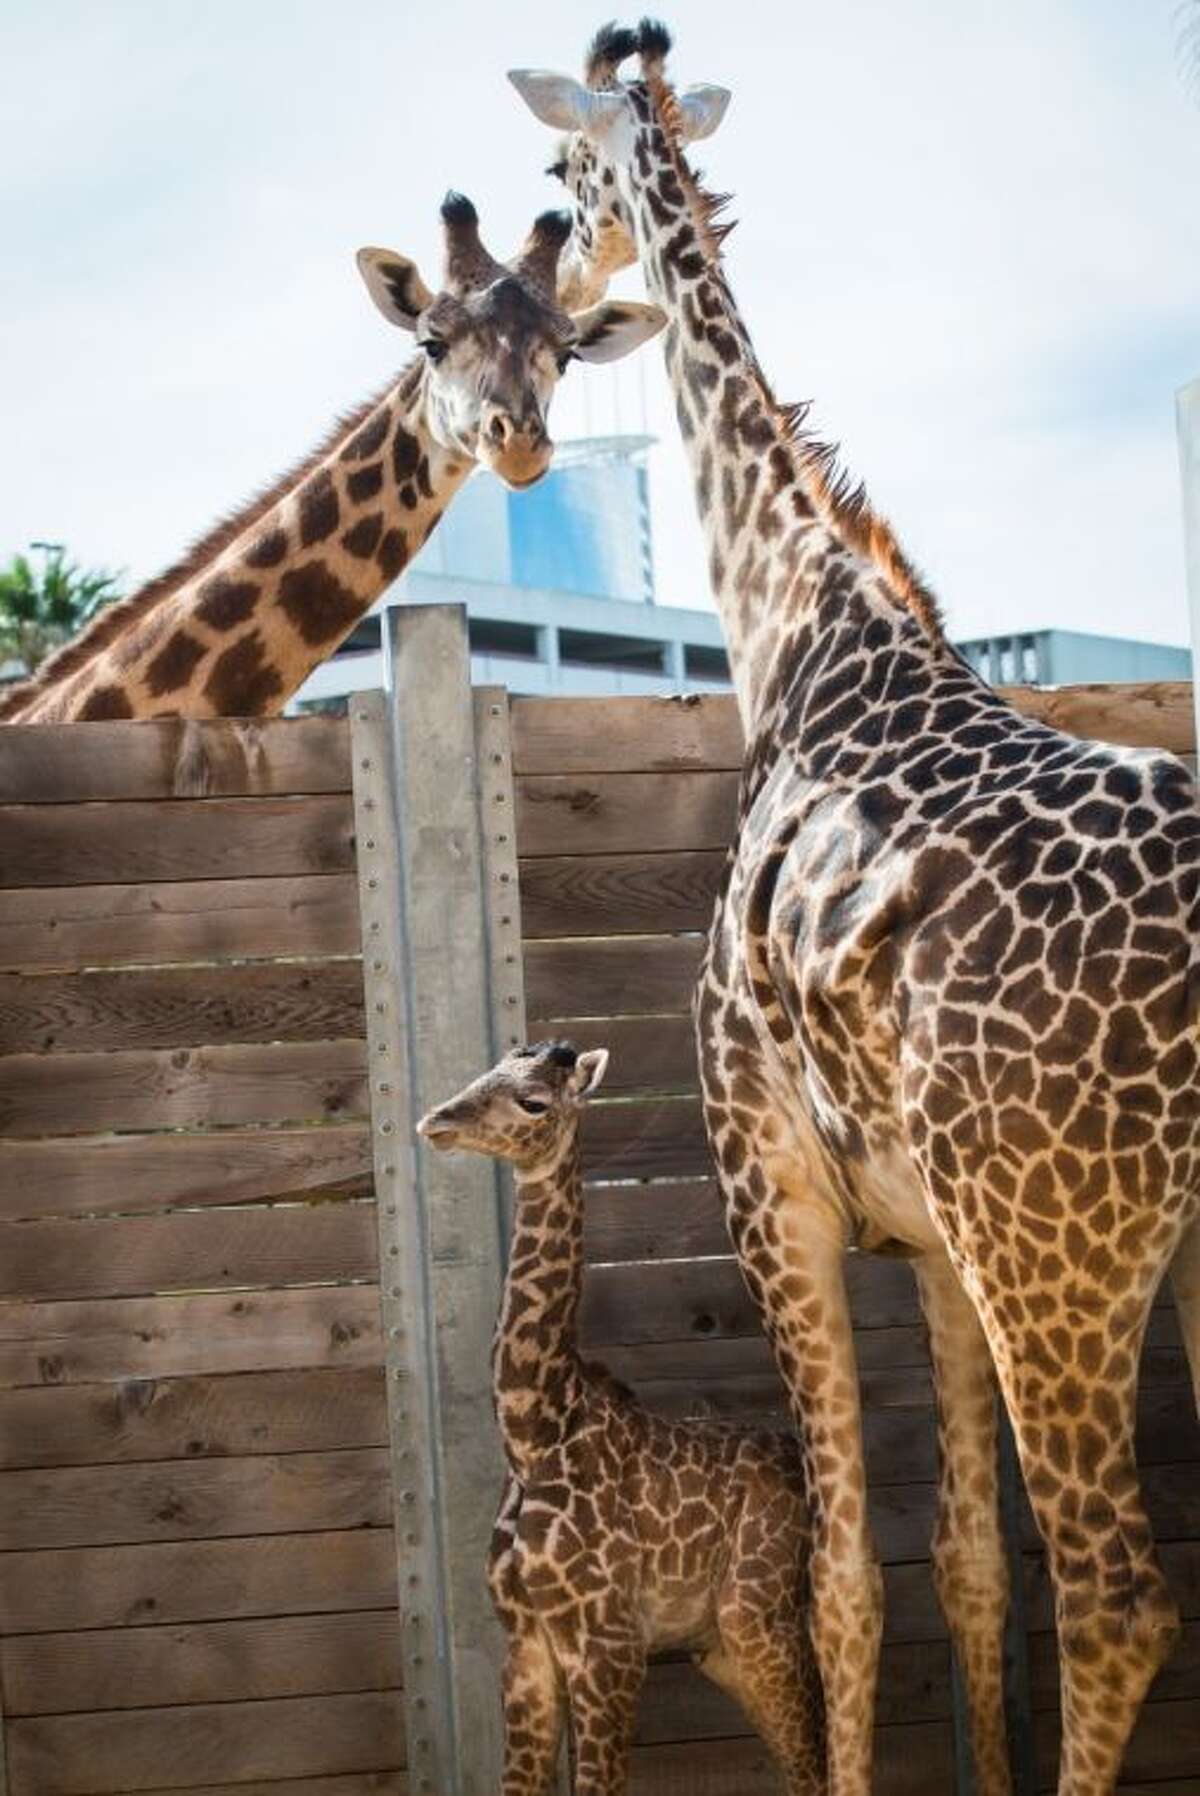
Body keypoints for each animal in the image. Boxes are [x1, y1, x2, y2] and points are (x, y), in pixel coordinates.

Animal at [417, 1038, 825, 1796]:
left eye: (533, 1101)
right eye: (485, 1074)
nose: (437, 1122)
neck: (535, 1430)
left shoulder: (609, 1644)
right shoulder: (525, 1645)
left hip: (759, 1620)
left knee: (818, 1756)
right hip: (717, 1647)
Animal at [510, 22, 1200, 1796]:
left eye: (559, 171)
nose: (559, 267)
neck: (794, 629)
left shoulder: (775, 1188)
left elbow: (844, 1586)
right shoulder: (931, 1243)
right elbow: (961, 1565)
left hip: (1064, 1246)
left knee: (1119, 1591)